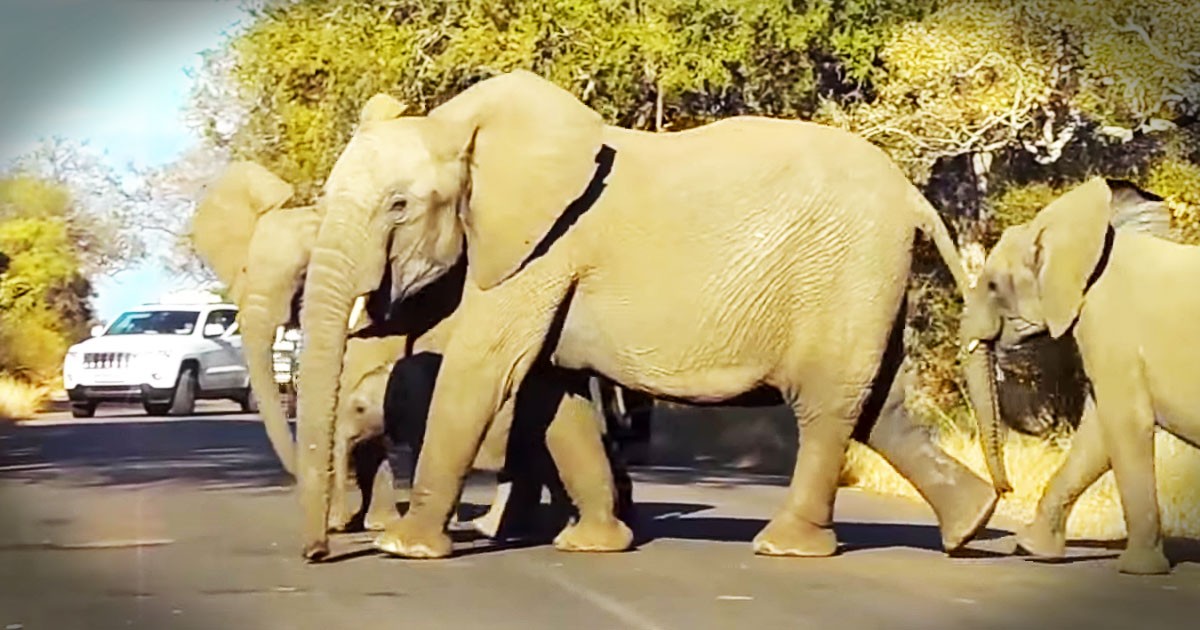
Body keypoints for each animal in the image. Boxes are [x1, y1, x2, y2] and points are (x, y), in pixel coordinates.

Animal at [294, 69, 1003, 561]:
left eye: (399, 206)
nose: (318, 553)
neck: (461, 126)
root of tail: (911, 195)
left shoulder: (542, 248)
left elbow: (484, 368)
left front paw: (403, 548)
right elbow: (550, 390)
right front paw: (592, 545)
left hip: (845, 270)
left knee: (828, 407)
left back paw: (784, 547)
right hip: (864, 281)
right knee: (879, 407)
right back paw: (969, 527)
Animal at [960, 177, 1199, 575]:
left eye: (992, 286)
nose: (1006, 490)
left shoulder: (1110, 329)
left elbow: (1124, 423)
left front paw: (1138, 570)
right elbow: (1096, 436)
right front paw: (1032, 549)